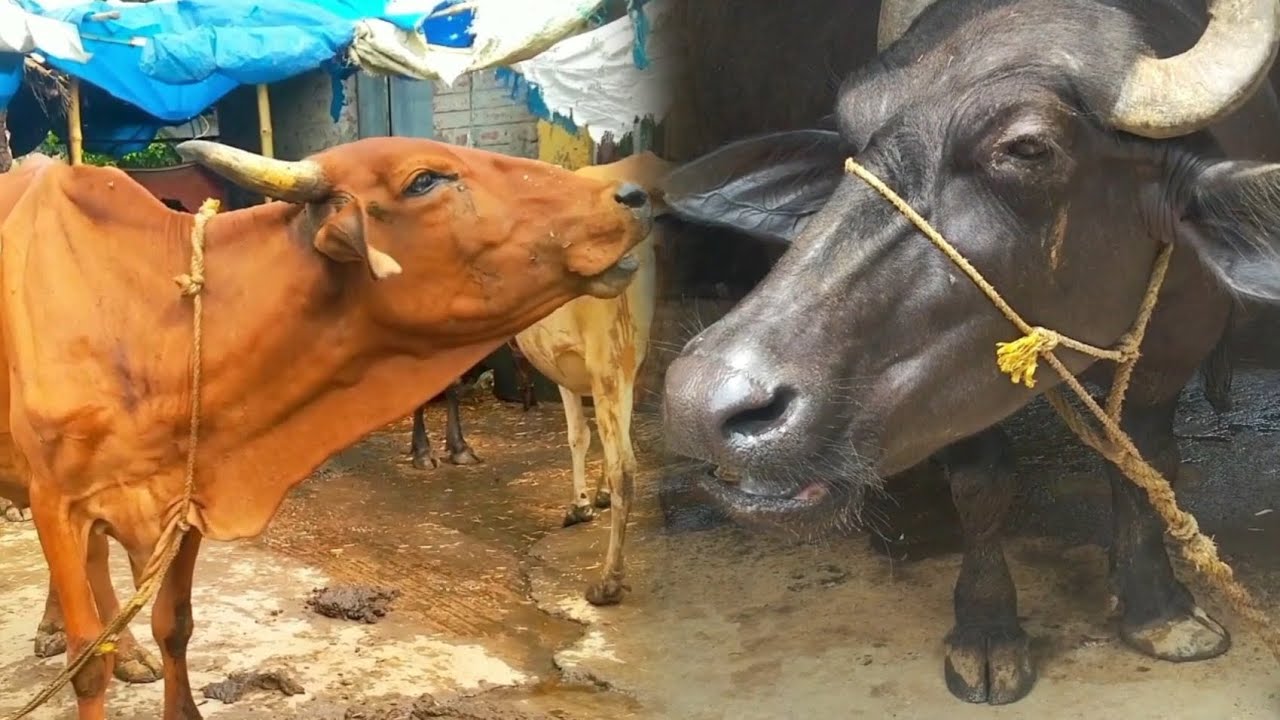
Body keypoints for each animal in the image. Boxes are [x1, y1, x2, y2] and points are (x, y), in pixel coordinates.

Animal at [0, 136, 650, 720]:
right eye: (424, 180)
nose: (632, 195)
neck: (153, 320)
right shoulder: (57, 502)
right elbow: (89, 664)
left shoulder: (186, 497)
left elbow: (174, 624)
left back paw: (125, 651)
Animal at [660, 0, 1280, 706]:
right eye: (851, 132)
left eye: (1028, 148)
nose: (698, 402)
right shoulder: (952, 389)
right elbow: (983, 485)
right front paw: (988, 630)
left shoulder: (1176, 347)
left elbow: (1144, 462)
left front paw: (1157, 606)